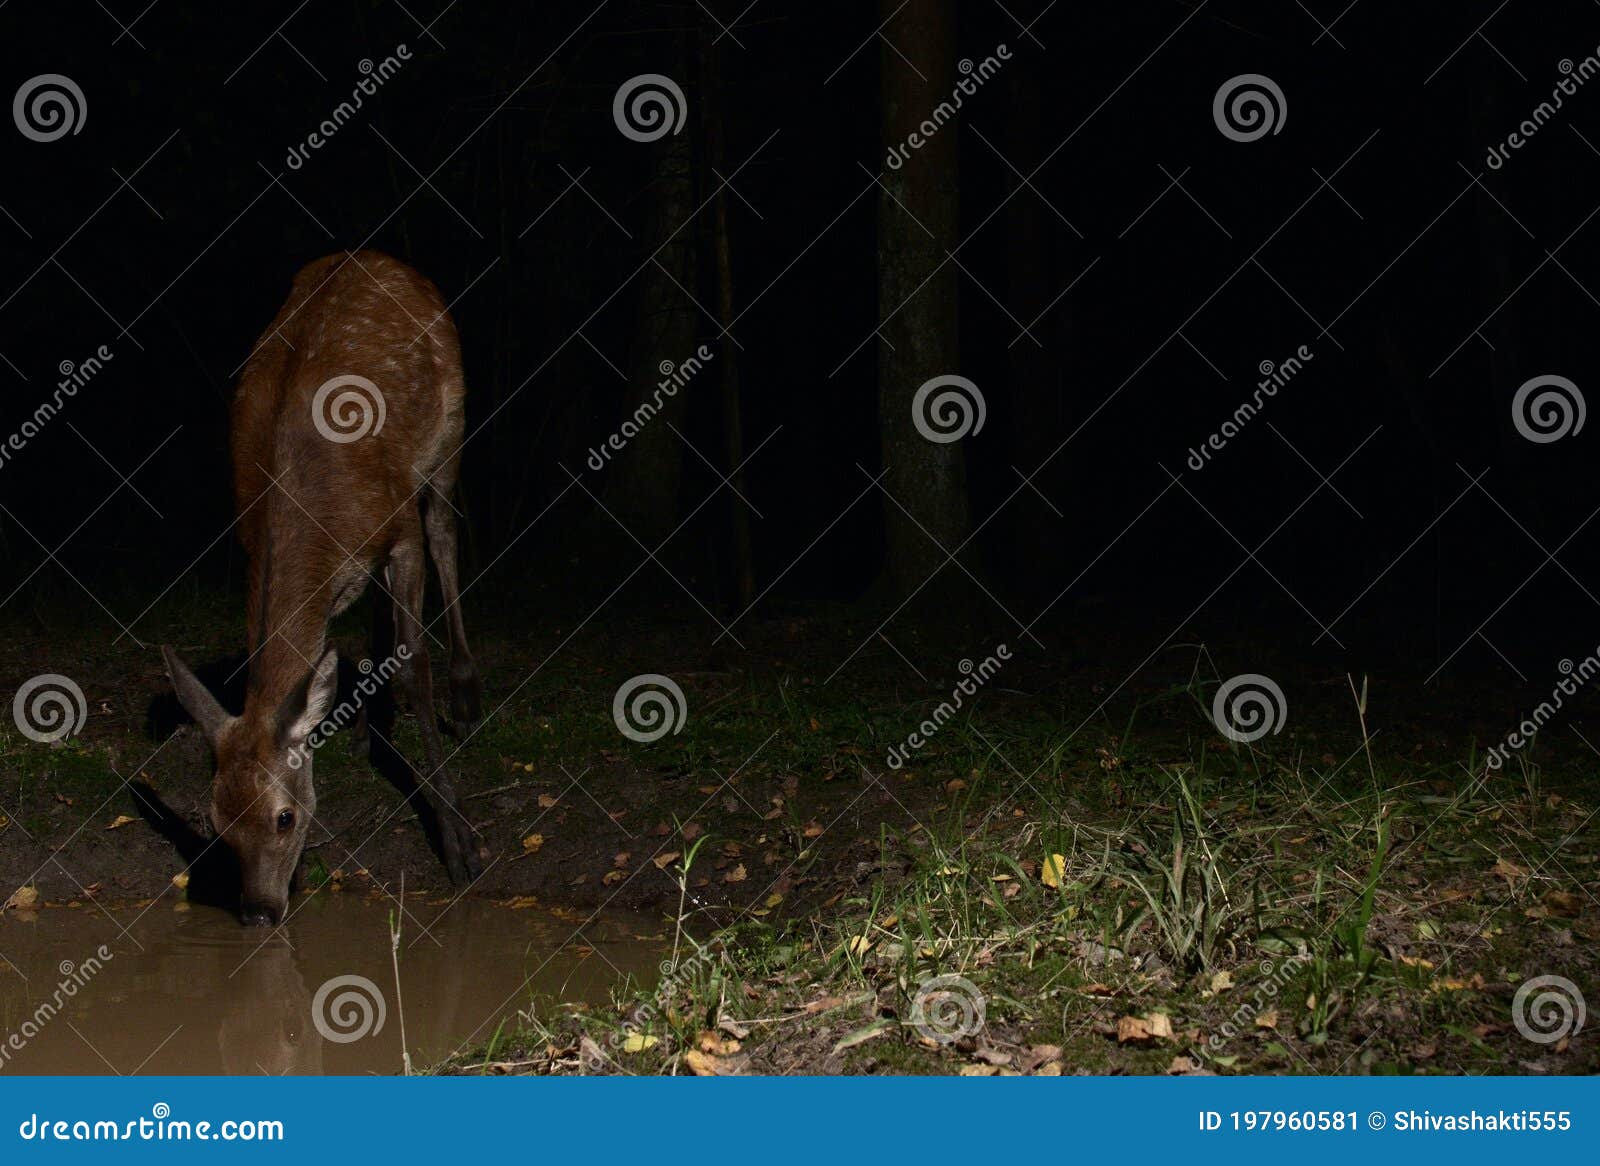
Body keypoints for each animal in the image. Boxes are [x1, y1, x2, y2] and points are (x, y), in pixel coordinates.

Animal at [162, 250, 484, 927]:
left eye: (285, 818)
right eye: (217, 821)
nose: (258, 911)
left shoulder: (399, 524)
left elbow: (416, 662)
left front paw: (459, 845)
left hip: (451, 430)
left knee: (447, 532)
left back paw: (465, 695)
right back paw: (365, 722)